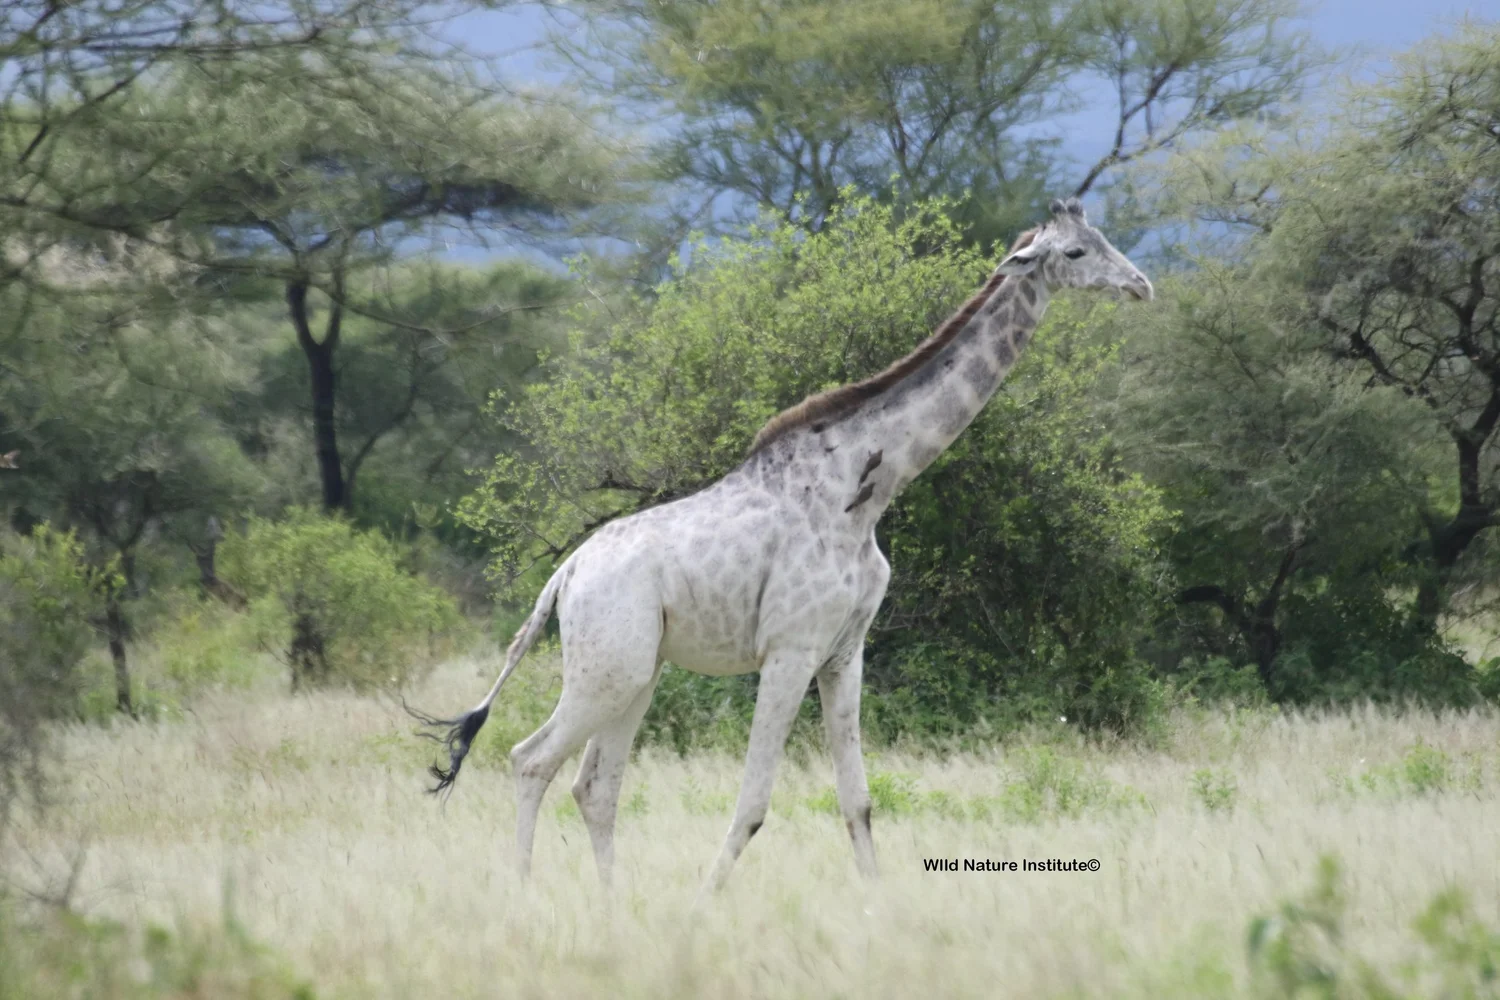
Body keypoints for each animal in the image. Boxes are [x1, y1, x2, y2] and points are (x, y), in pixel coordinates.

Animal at [414, 197, 1152, 896]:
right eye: (1076, 251)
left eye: (1105, 237)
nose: (1141, 285)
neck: (865, 491)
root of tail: (564, 574)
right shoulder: (789, 650)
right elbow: (753, 803)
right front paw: (701, 904)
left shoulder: (845, 650)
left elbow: (858, 801)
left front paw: (877, 904)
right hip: (608, 669)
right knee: (530, 759)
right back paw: (525, 892)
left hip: (637, 672)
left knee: (594, 785)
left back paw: (611, 903)